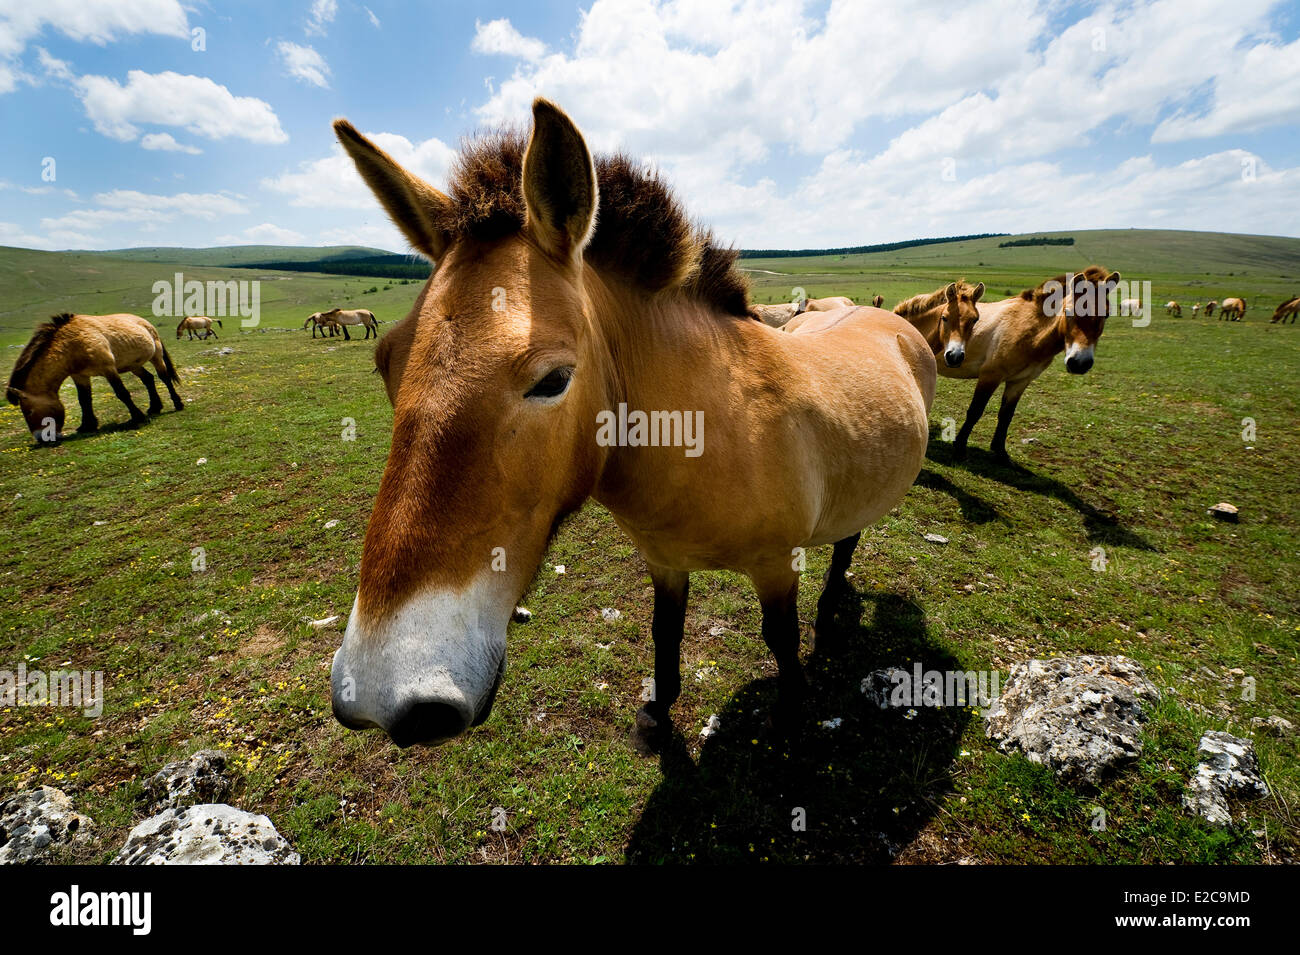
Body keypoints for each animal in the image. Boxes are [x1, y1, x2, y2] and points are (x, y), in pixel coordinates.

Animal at [7, 313, 183, 443]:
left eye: (29, 412)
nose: (40, 438)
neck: (70, 346)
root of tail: (145, 322)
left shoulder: (108, 369)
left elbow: (122, 393)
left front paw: (137, 416)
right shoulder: (80, 376)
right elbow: (84, 400)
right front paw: (87, 425)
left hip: (156, 356)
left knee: (164, 378)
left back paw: (177, 403)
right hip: (134, 365)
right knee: (148, 379)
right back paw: (155, 407)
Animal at [327, 99, 937, 751]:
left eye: (553, 379)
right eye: (385, 361)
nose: (381, 691)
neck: (711, 429)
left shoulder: (777, 568)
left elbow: (781, 640)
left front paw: (792, 712)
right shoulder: (665, 562)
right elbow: (665, 633)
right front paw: (660, 711)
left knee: (849, 539)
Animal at [943, 266, 1120, 462]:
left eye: (1107, 314)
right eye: (1069, 312)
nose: (1080, 363)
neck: (1027, 328)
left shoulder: (1020, 381)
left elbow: (1006, 415)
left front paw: (1000, 451)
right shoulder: (990, 376)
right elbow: (975, 411)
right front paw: (959, 447)